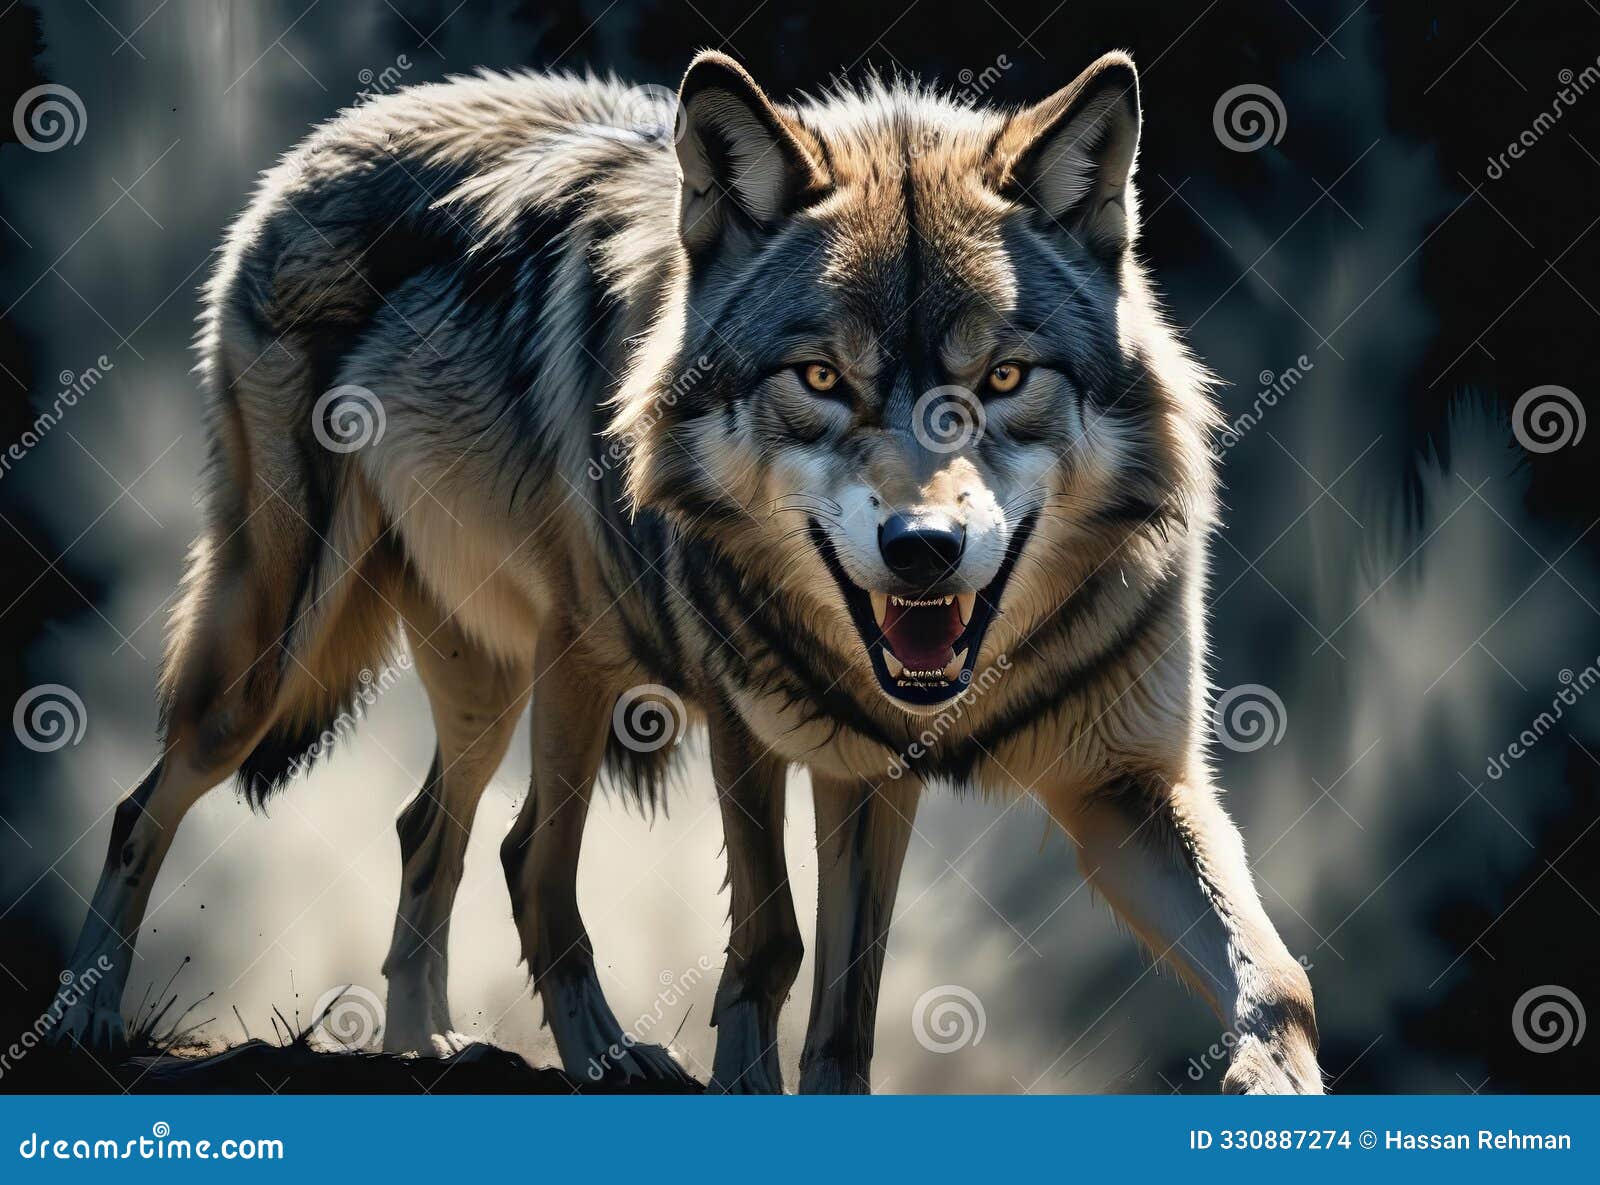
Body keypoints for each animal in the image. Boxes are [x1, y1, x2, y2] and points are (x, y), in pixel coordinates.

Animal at [52, 48, 1321, 1093]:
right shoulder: (749, 729)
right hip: (328, 650)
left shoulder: (1090, 785)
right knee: (199, 812)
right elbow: (769, 948)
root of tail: (340, 131)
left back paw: (427, 1044)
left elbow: (1271, 981)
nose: (922, 550)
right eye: (820, 379)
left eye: (1004, 380)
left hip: (504, 678)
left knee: (434, 832)